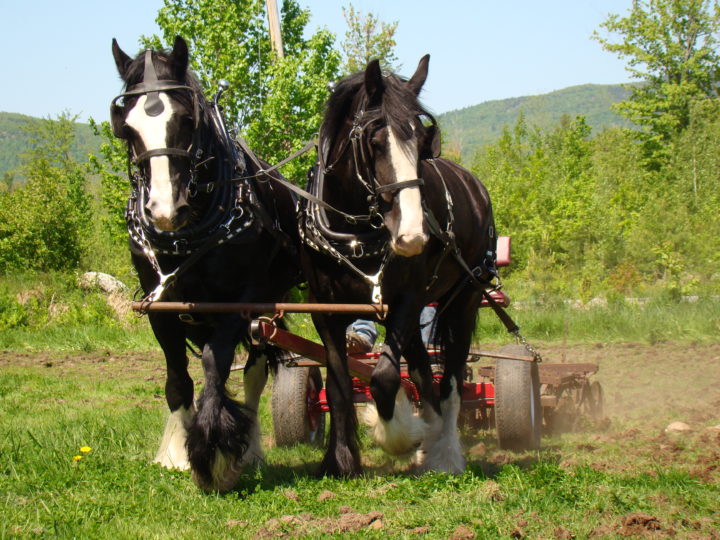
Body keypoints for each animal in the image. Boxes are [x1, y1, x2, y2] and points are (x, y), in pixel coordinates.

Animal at [111, 37, 301, 491]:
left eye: (185, 119)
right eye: (126, 126)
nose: (164, 210)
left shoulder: (239, 301)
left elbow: (216, 365)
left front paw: (214, 453)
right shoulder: (159, 305)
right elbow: (177, 380)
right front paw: (181, 453)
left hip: (265, 308)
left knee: (255, 371)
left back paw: (250, 448)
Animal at [300, 55, 497, 476]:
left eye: (423, 143)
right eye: (374, 142)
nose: (412, 236)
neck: (354, 232)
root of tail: (474, 186)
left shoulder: (407, 298)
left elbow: (386, 378)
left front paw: (399, 436)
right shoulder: (325, 309)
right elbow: (338, 387)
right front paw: (341, 459)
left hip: (465, 298)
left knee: (450, 379)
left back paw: (445, 452)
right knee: (423, 372)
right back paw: (430, 440)